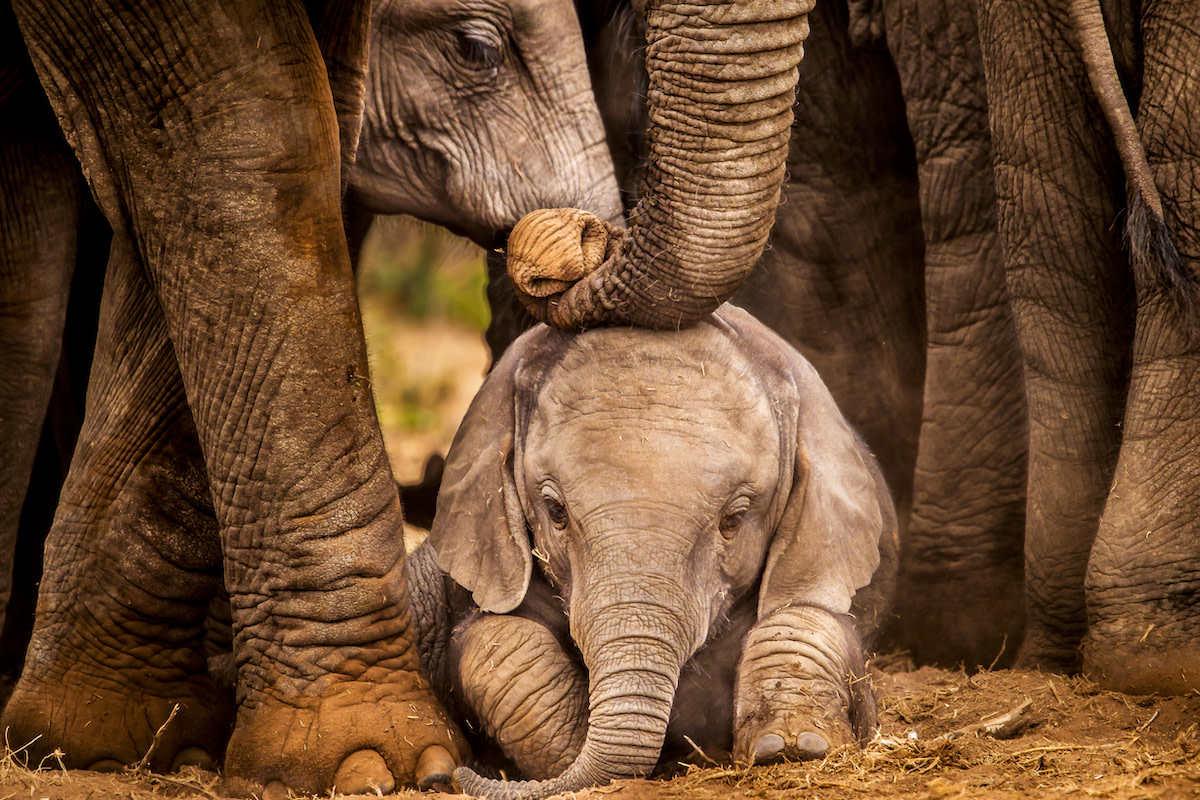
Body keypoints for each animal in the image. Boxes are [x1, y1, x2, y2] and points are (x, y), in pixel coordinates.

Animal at [409, 303, 897, 799]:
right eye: (555, 511)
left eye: (734, 519)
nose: (455, 778)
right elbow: (499, 639)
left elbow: (805, 617)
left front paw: (790, 747)